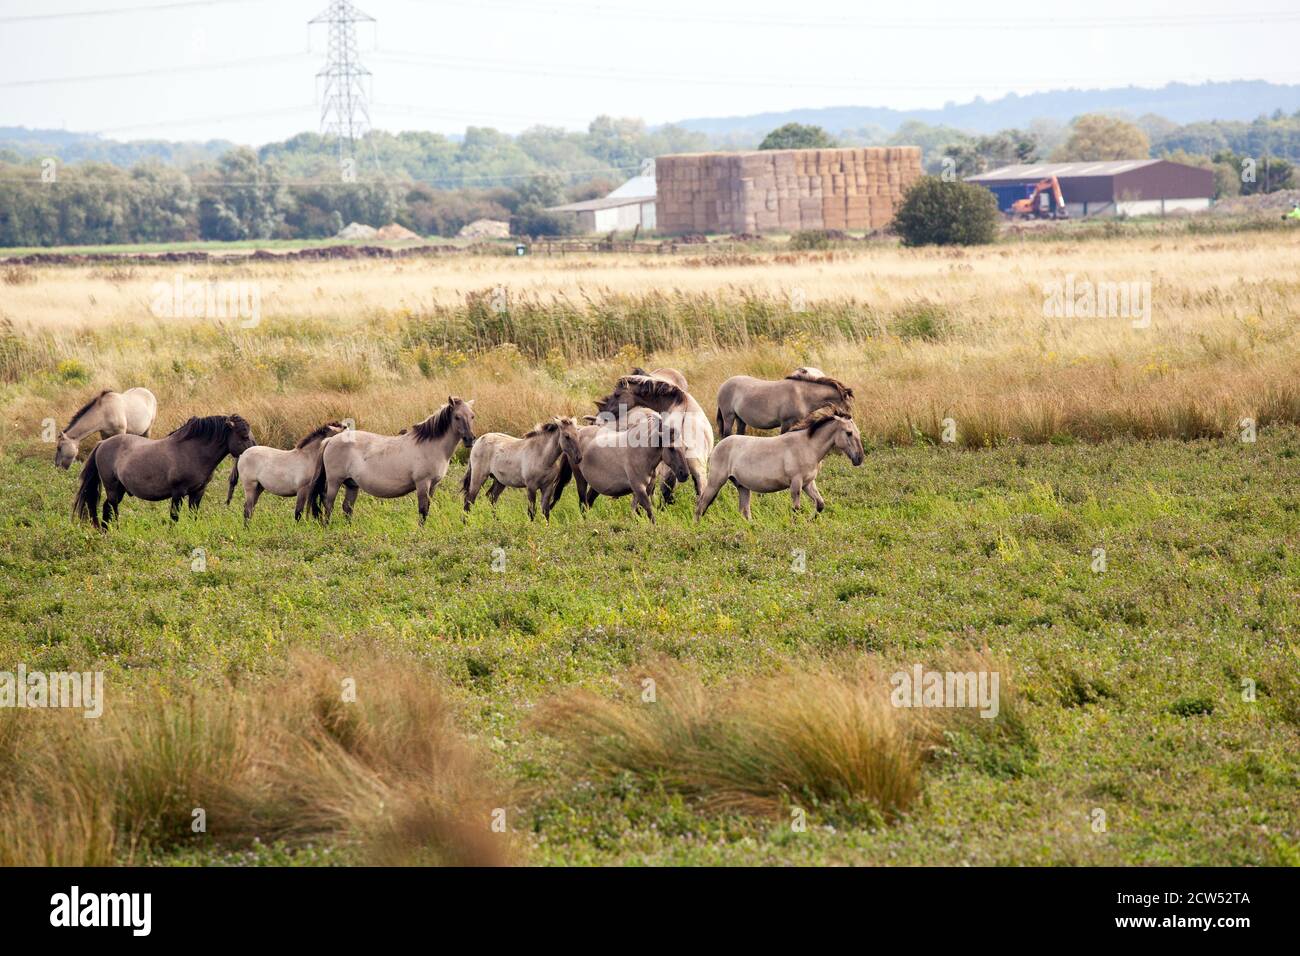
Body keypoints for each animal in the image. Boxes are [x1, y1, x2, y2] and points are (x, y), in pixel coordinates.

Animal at [72, 414, 255, 528]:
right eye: (244, 436)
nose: (254, 452)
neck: (193, 451)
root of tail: (102, 444)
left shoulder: (198, 492)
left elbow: (193, 515)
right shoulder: (178, 493)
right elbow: (174, 517)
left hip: (120, 489)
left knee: (107, 508)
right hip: (112, 488)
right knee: (111, 508)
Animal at [309, 397, 475, 525]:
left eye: (472, 416)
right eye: (457, 417)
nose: (470, 440)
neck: (431, 445)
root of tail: (330, 440)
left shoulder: (433, 484)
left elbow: (427, 509)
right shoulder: (423, 483)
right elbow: (422, 510)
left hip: (352, 484)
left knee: (347, 508)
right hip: (334, 482)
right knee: (328, 505)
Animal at [695, 407, 864, 521]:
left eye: (858, 433)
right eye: (849, 433)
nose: (859, 458)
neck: (808, 446)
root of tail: (718, 446)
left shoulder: (808, 483)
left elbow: (820, 504)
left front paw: (809, 521)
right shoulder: (796, 483)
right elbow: (796, 509)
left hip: (742, 487)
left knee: (744, 512)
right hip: (716, 482)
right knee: (701, 505)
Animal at [714, 367, 854, 437]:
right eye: (847, 403)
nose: (849, 417)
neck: (802, 395)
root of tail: (723, 385)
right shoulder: (787, 423)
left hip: (741, 419)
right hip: (729, 417)